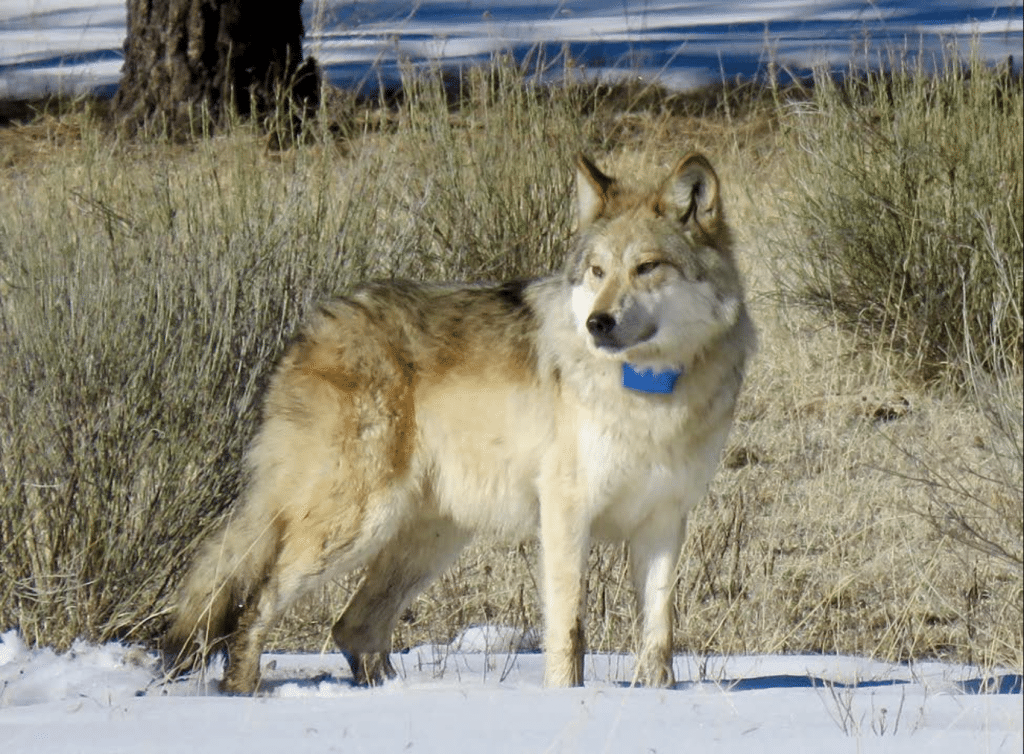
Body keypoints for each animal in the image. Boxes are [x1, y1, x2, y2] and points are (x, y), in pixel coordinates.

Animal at [164, 152, 755, 694]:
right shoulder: (566, 513)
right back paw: (242, 694)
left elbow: (658, 638)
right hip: (354, 525)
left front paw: (657, 702)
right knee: (256, 605)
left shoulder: (663, 522)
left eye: (647, 267)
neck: (649, 388)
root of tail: (309, 330)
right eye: (597, 271)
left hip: (432, 537)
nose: (597, 323)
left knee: (353, 626)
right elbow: (570, 633)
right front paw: (566, 699)